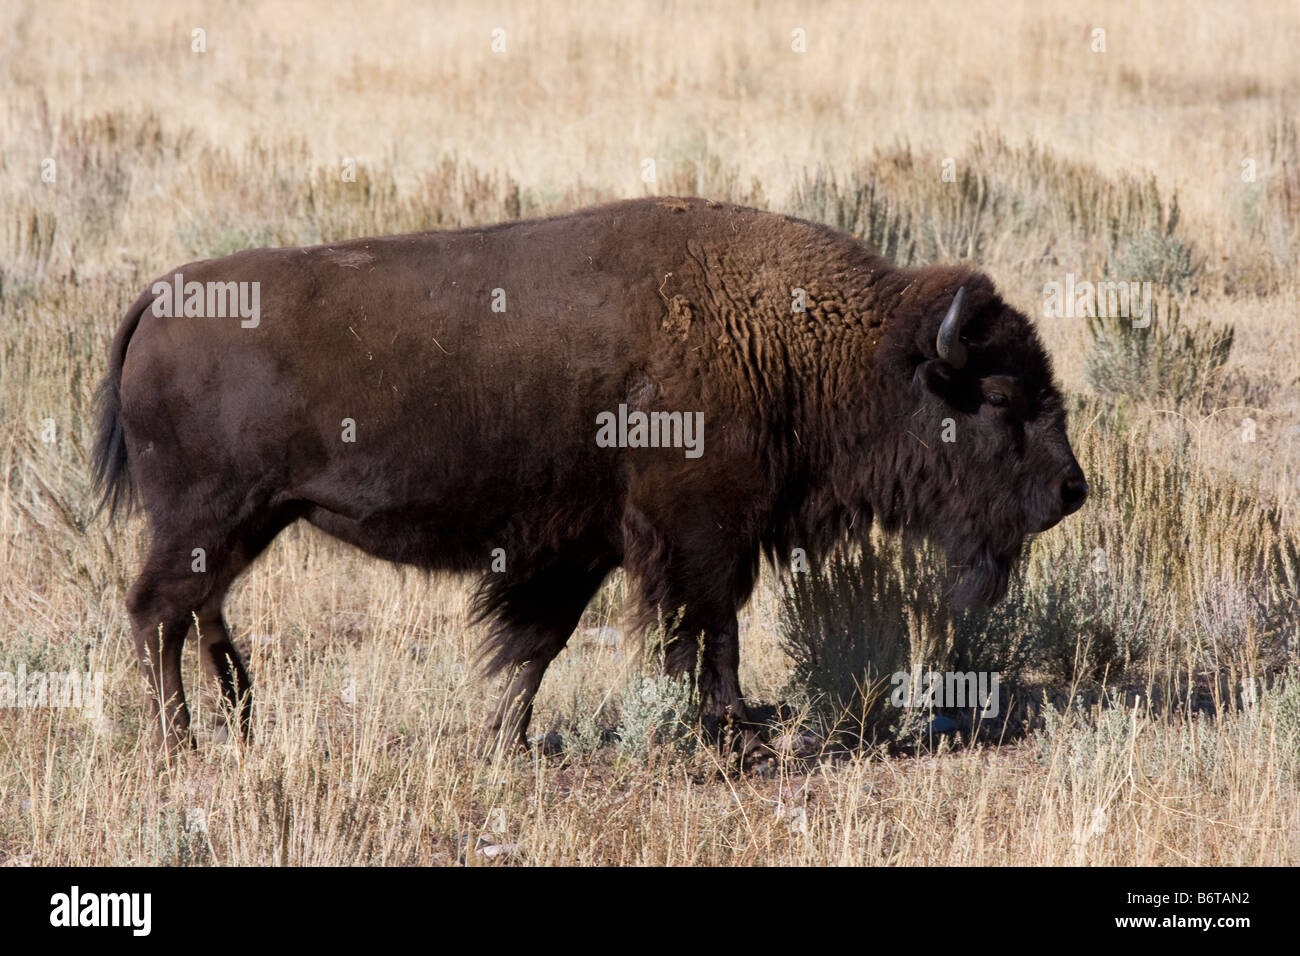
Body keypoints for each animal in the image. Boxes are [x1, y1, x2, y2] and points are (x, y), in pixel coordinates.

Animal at [93, 197, 1087, 756]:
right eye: (1001, 395)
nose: (1071, 491)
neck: (803, 344)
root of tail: (159, 298)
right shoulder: (700, 540)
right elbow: (710, 637)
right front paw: (738, 736)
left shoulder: (587, 549)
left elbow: (538, 644)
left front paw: (507, 741)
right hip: (206, 521)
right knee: (157, 613)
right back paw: (182, 744)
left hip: (246, 523)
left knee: (197, 610)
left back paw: (238, 716)